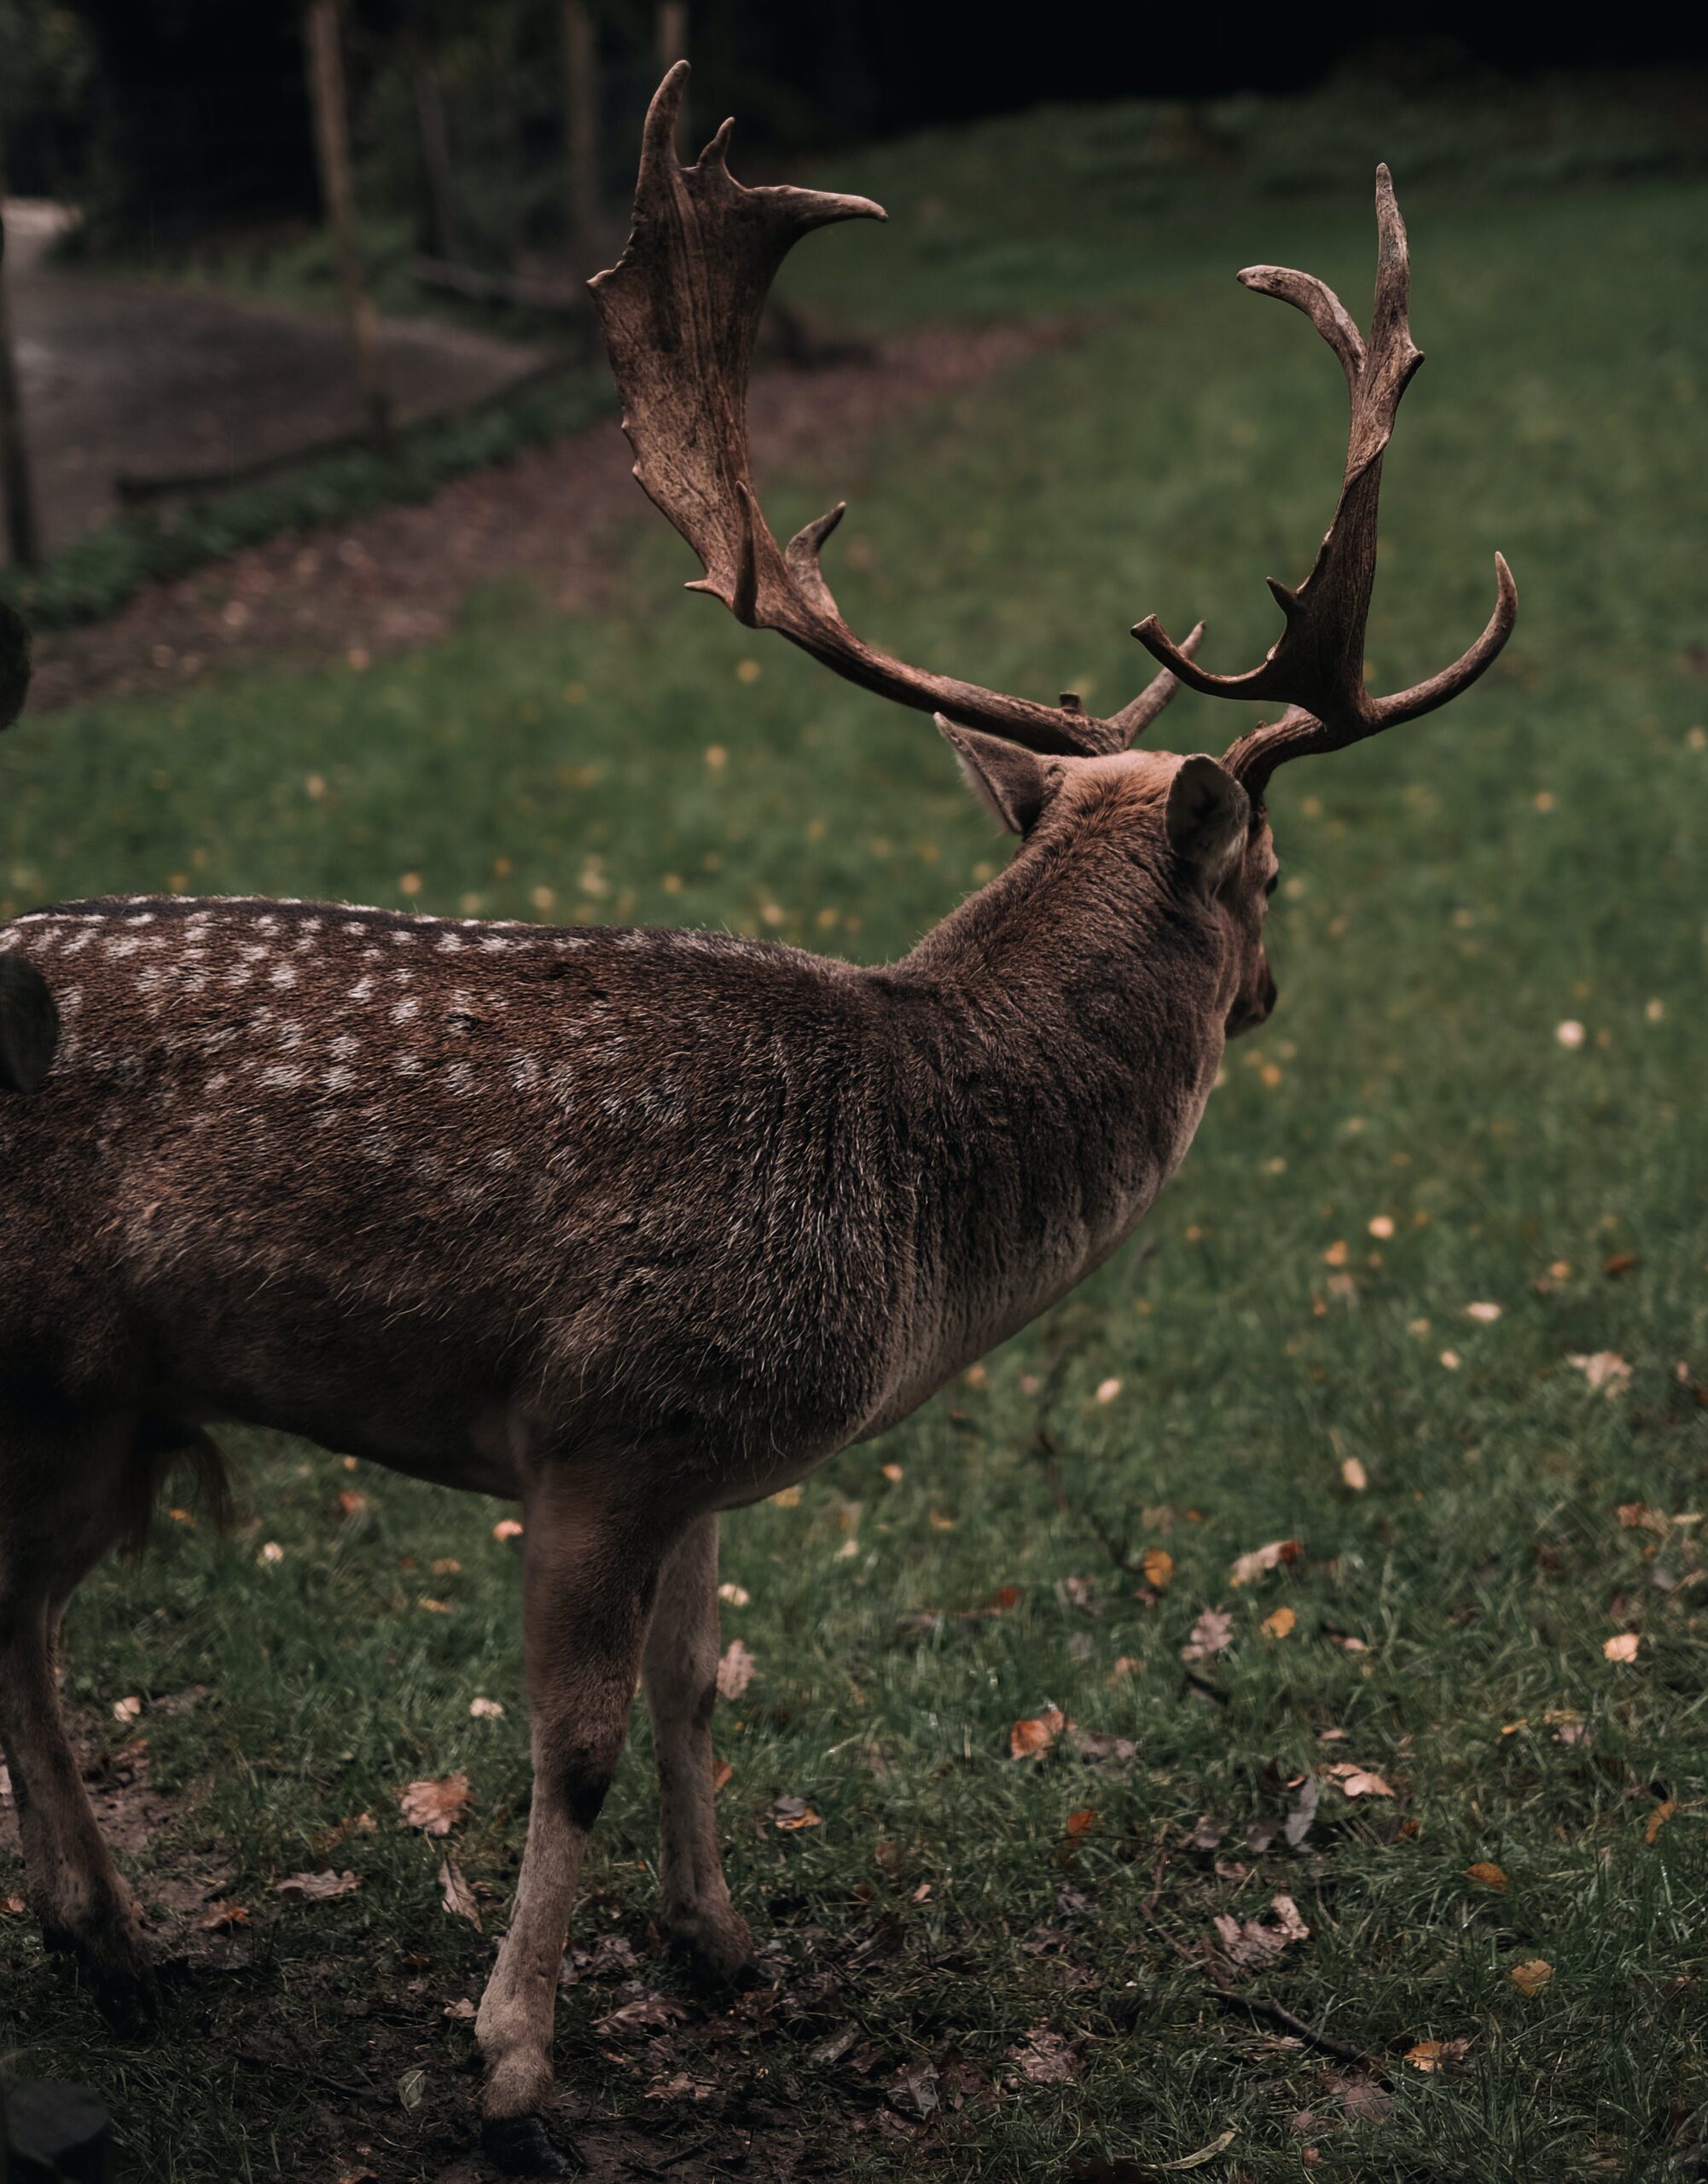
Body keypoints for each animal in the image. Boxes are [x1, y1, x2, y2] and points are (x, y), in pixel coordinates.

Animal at [0, 65, 1513, 2178]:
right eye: (1274, 873)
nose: (1276, 989)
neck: (899, 1230)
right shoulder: (595, 1421)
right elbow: (569, 1744)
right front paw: (517, 2069)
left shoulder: (699, 1455)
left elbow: (697, 1684)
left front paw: (718, 1946)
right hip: (62, 1379)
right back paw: (119, 1941)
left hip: (105, 1404)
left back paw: (106, 1938)